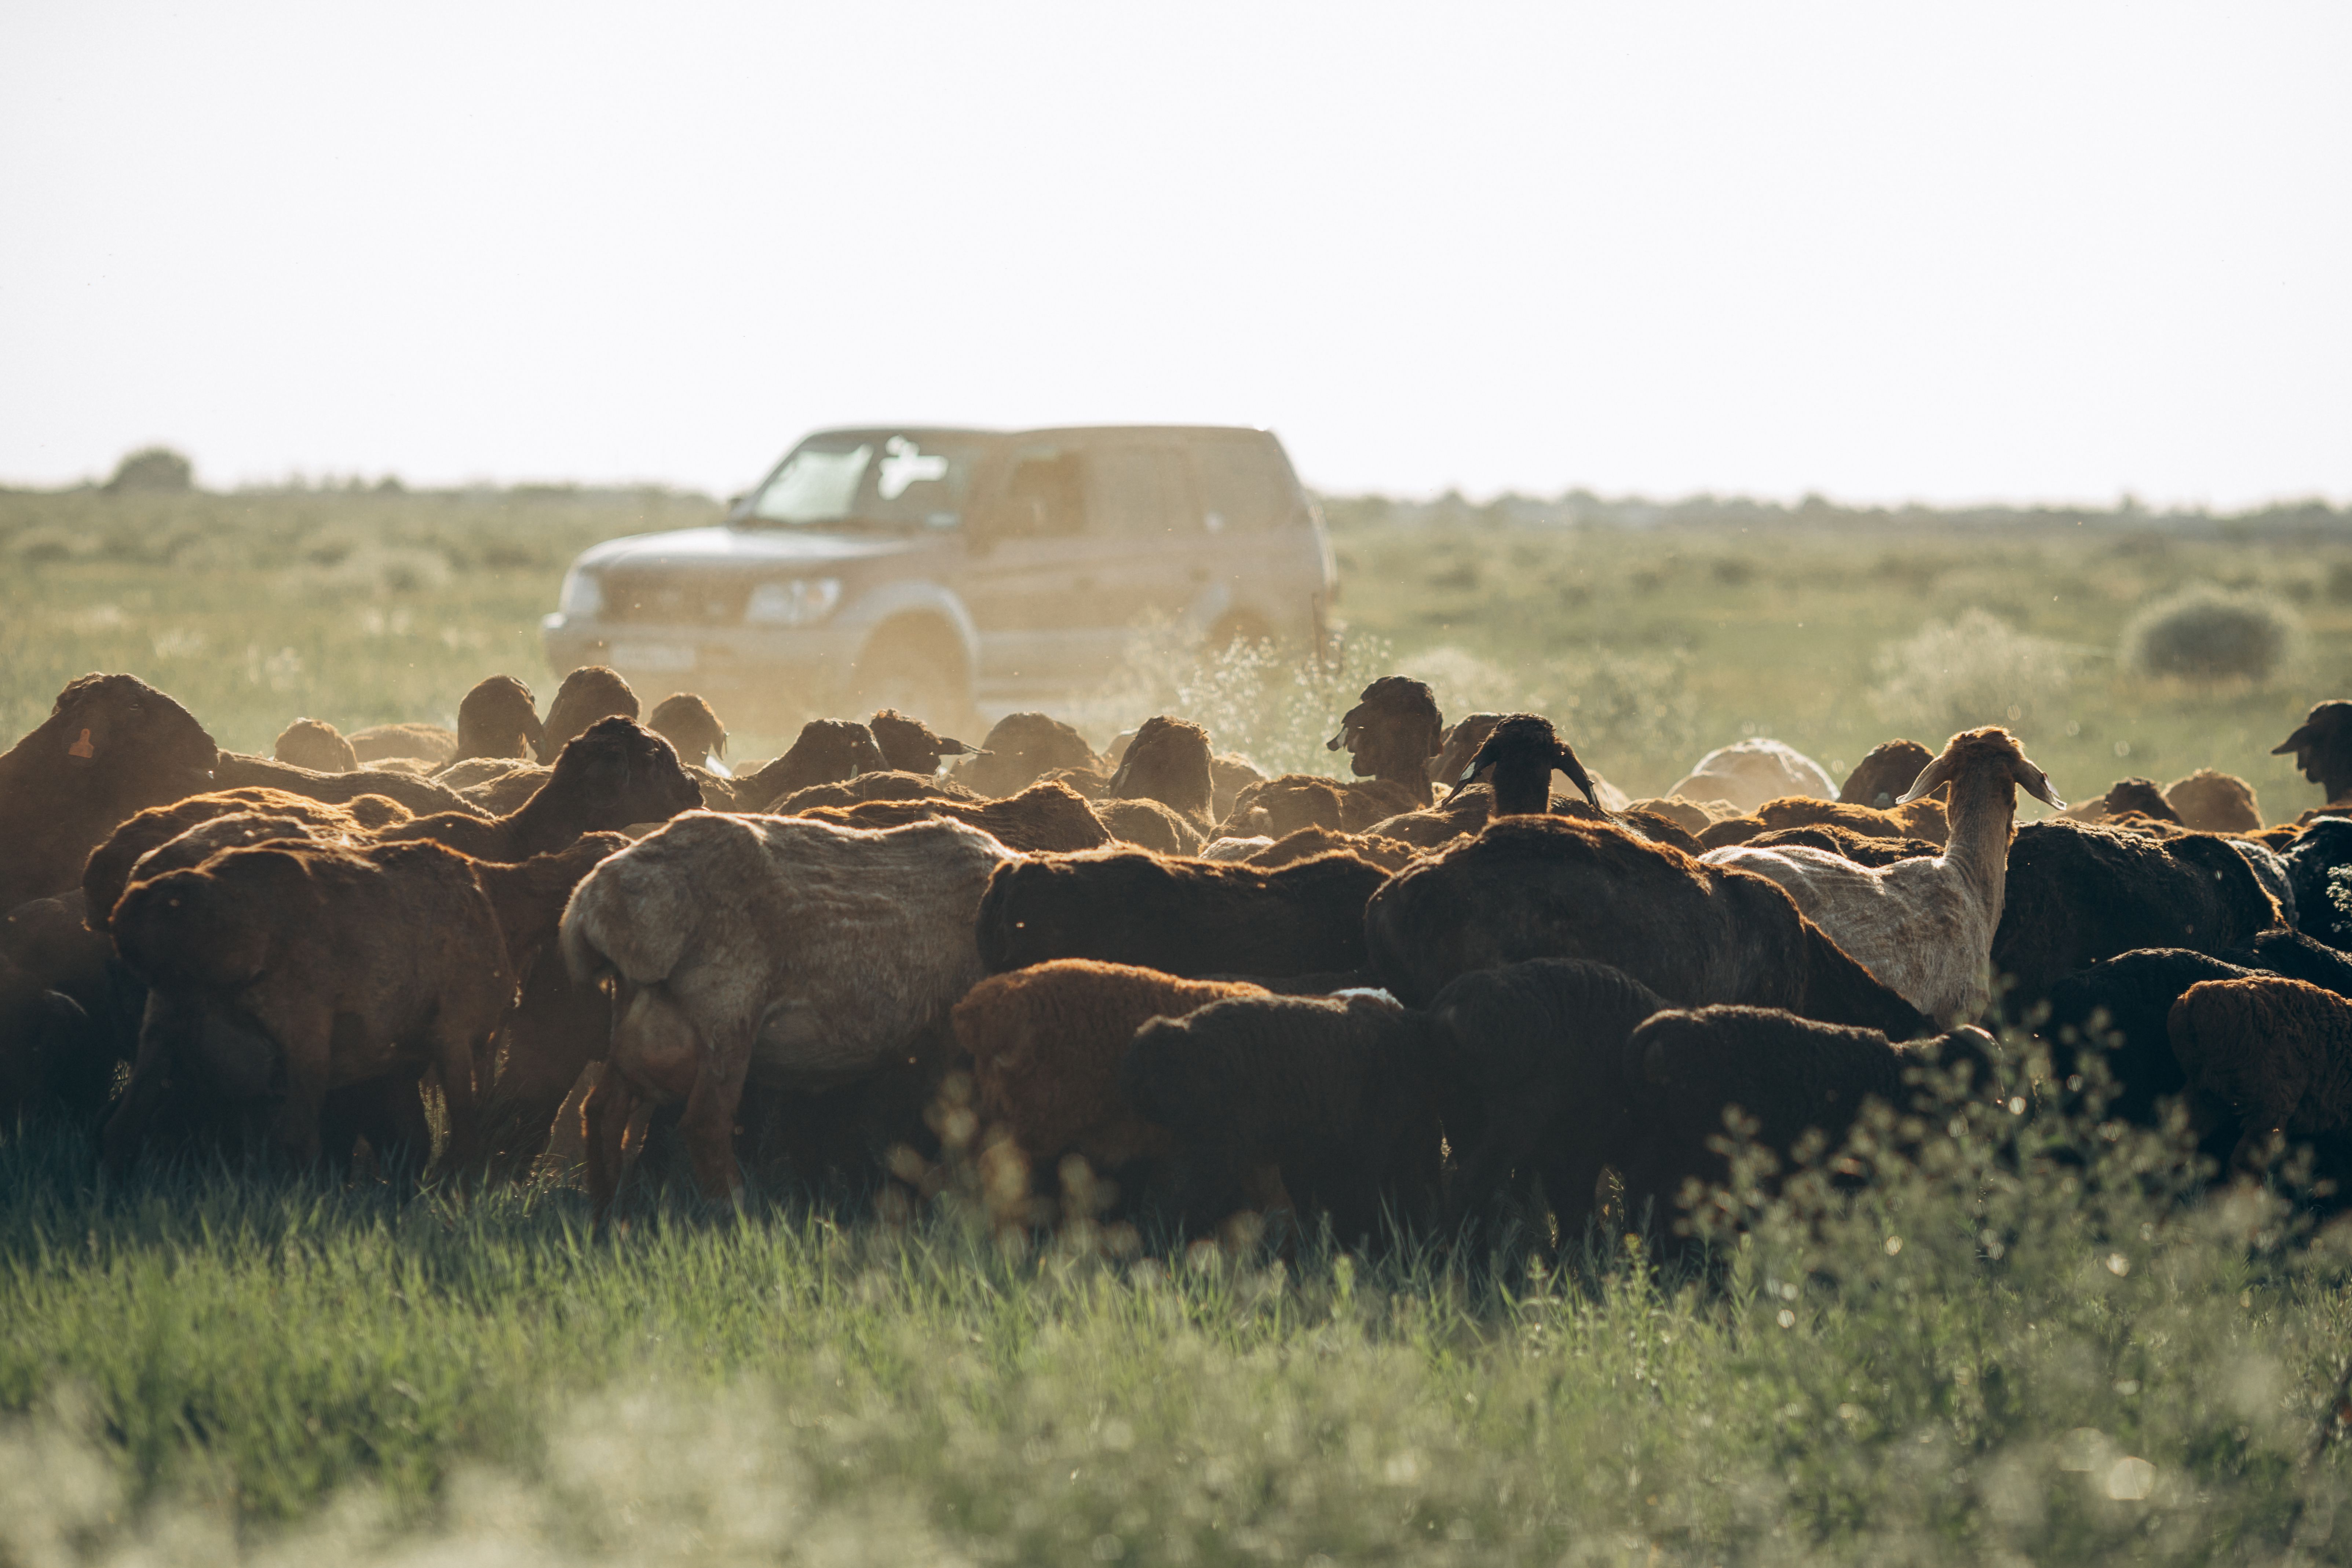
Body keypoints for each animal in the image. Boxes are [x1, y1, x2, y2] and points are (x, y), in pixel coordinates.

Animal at [103, 839, 522, 1173]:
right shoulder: (451, 1035)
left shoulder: (396, 1059)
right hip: (313, 1036)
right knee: (304, 1135)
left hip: (162, 1030)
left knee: (123, 1123)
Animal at [559, 812, 1018, 1211]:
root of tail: (590, 905)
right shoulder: (943, 1043)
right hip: (726, 1011)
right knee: (705, 1122)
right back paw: (735, 1213)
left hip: (637, 1021)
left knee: (601, 1111)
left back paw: (607, 1217)